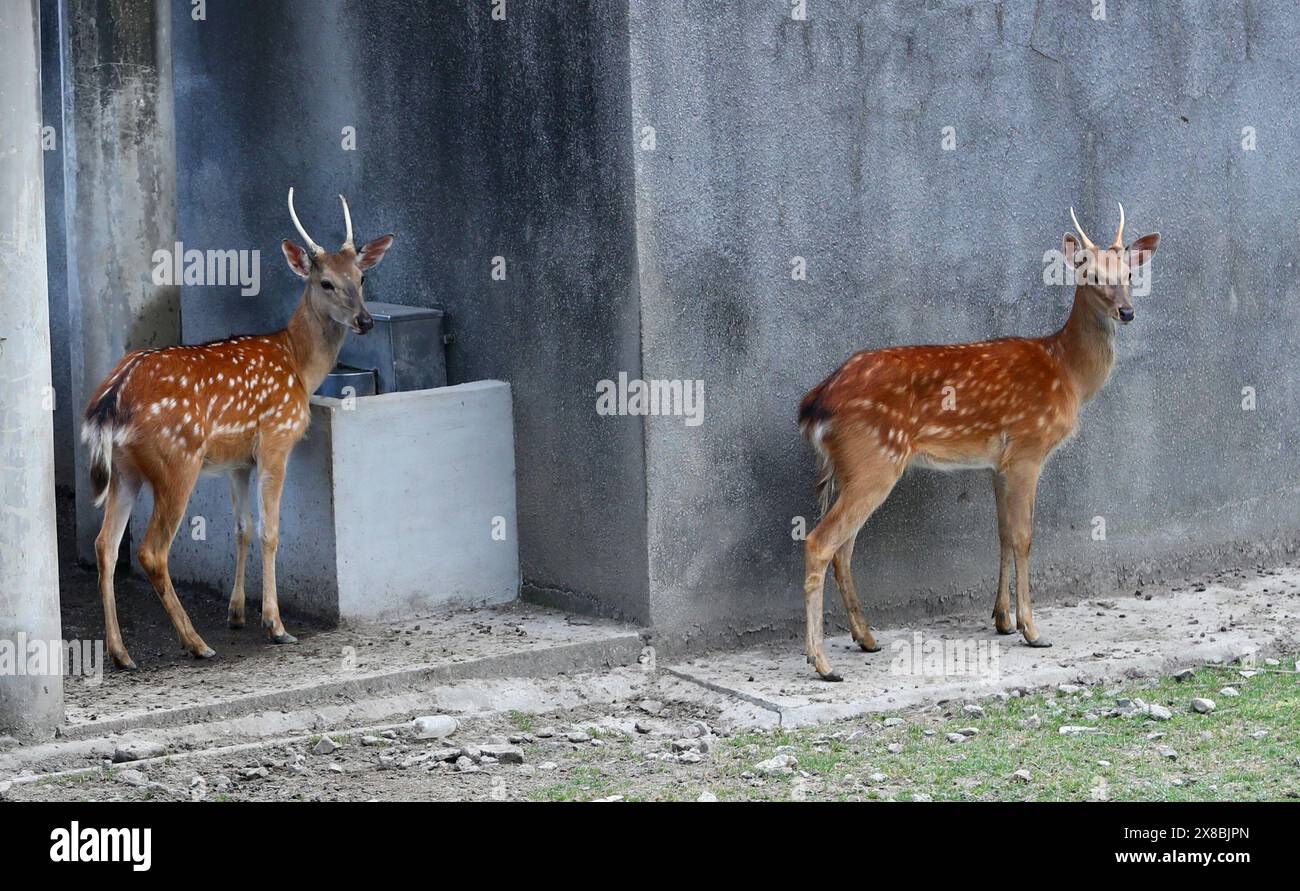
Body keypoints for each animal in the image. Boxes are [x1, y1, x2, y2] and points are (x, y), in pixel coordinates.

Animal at [82, 189, 394, 669]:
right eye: (325, 283)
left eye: (361, 278)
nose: (365, 320)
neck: (298, 364)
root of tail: (112, 395)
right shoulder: (276, 440)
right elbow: (271, 530)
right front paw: (275, 625)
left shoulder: (237, 461)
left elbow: (242, 527)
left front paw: (236, 613)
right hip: (177, 460)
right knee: (151, 551)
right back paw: (195, 643)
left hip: (125, 469)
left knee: (106, 545)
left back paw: (121, 653)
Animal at [797, 205, 1158, 680]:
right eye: (1091, 274)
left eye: (1130, 274)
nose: (1127, 312)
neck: (1069, 374)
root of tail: (816, 401)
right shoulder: (1028, 447)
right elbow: (1024, 536)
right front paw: (1031, 629)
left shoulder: (997, 462)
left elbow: (1002, 533)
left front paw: (1002, 620)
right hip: (874, 459)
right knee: (820, 542)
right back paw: (822, 662)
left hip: (851, 468)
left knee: (843, 549)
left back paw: (866, 638)